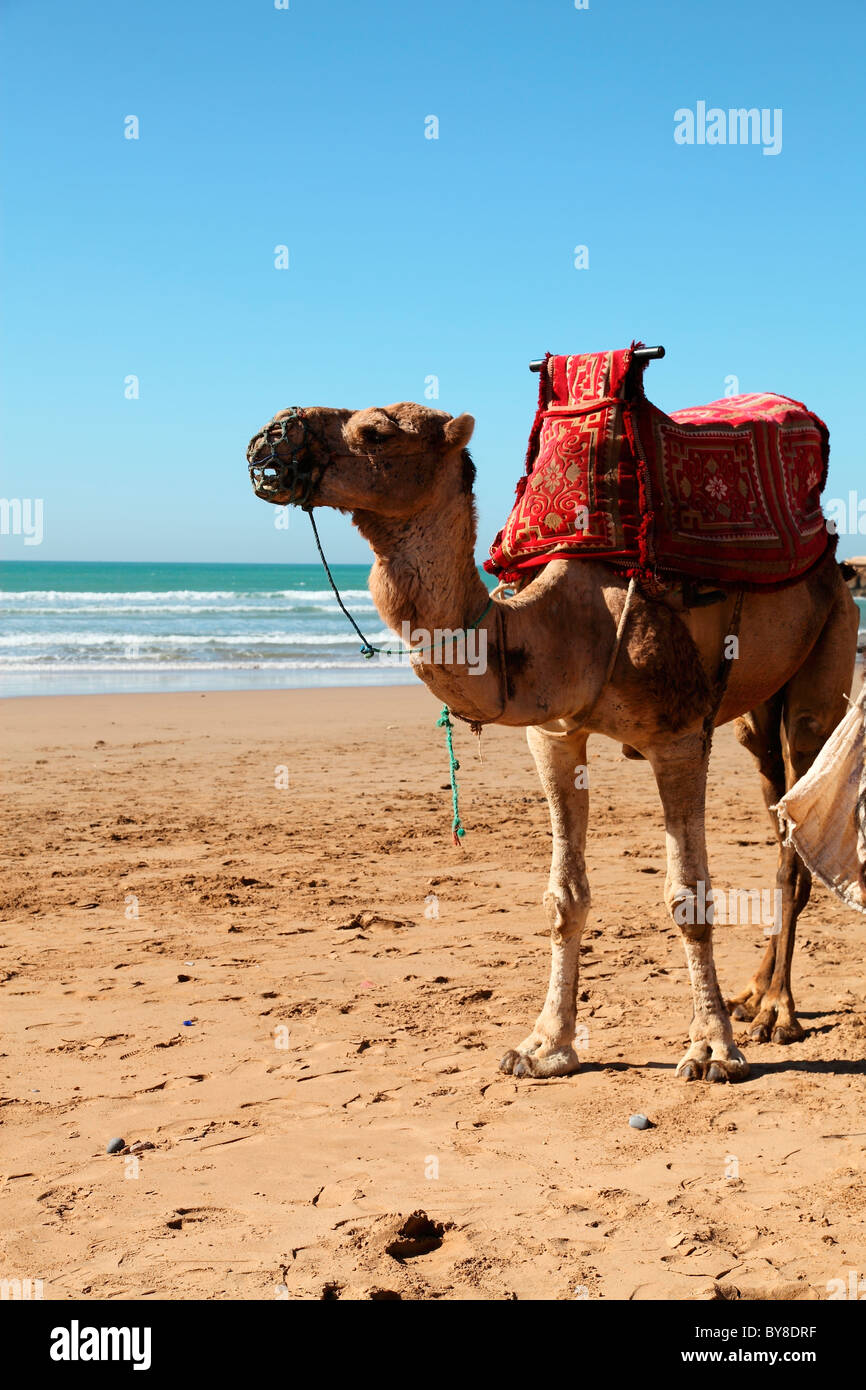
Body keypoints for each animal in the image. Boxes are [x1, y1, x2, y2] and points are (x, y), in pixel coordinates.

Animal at [247, 401, 860, 1082]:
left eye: (375, 431)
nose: (269, 438)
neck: (568, 622)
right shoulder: (552, 737)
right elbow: (564, 897)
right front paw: (544, 1047)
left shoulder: (676, 734)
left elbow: (687, 897)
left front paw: (711, 1051)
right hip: (755, 713)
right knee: (776, 801)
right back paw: (752, 993)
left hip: (829, 646)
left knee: (797, 821)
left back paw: (778, 1012)